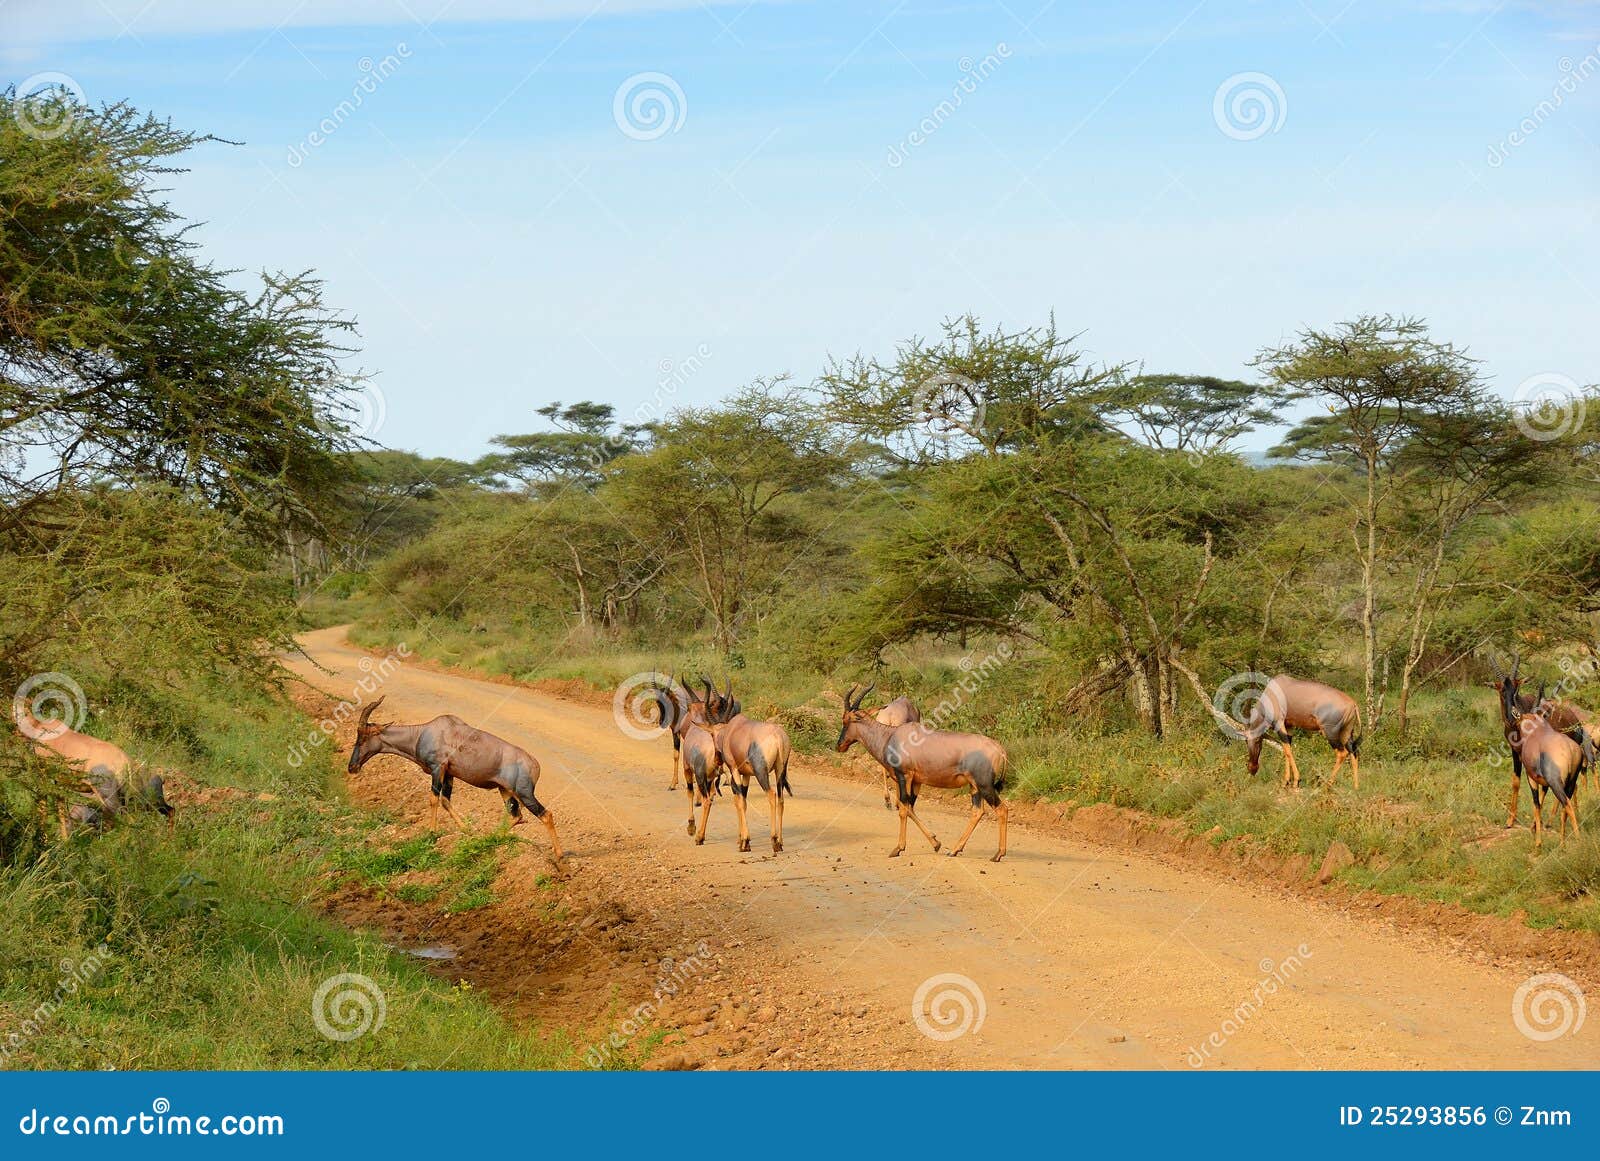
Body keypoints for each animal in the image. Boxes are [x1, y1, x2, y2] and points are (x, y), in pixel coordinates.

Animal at [345, 697, 564, 859]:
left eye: (363, 737)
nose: (352, 767)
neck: (423, 732)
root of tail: (535, 764)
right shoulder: (449, 774)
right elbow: (445, 801)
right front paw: (468, 830)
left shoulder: (438, 768)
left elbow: (433, 799)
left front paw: (431, 834)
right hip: (505, 790)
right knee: (516, 816)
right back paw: (490, 838)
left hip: (524, 792)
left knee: (546, 814)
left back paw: (559, 856)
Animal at [703, 679, 793, 854]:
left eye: (711, 734)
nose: (717, 759)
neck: (731, 730)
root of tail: (778, 736)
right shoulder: (746, 775)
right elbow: (743, 801)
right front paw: (742, 841)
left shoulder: (734, 770)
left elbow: (739, 801)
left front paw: (745, 842)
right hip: (780, 770)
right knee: (781, 799)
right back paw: (780, 842)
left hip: (761, 773)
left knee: (771, 795)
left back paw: (774, 840)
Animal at [836, 684, 1008, 862]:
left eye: (846, 720)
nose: (839, 745)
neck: (891, 735)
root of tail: (999, 748)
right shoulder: (917, 781)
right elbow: (910, 808)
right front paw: (936, 843)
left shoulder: (904, 776)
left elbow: (903, 809)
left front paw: (898, 849)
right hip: (975, 787)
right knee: (978, 812)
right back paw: (954, 850)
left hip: (984, 785)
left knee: (1002, 809)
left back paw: (998, 854)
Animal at [1502, 680, 1591, 849]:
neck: (1537, 731)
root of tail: (1570, 749)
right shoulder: (1543, 782)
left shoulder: (1532, 778)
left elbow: (1536, 804)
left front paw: (1537, 842)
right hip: (1570, 782)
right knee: (1565, 807)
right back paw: (1562, 843)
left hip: (1556, 783)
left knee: (1567, 805)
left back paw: (1578, 841)